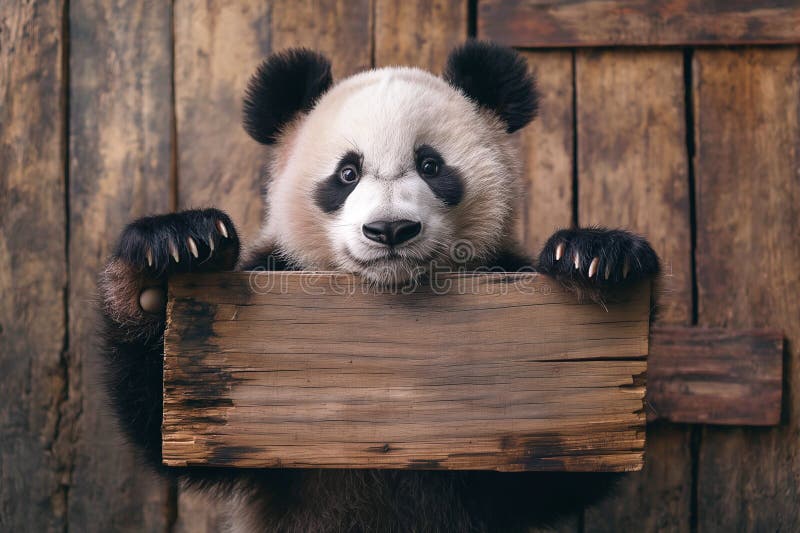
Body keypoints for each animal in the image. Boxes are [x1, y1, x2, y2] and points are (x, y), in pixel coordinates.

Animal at [99, 41, 659, 532]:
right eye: (347, 173)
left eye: (431, 165)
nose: (390, 230)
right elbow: (168, 431)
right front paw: (171, 253)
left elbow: (559, 471)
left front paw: (594, 257)